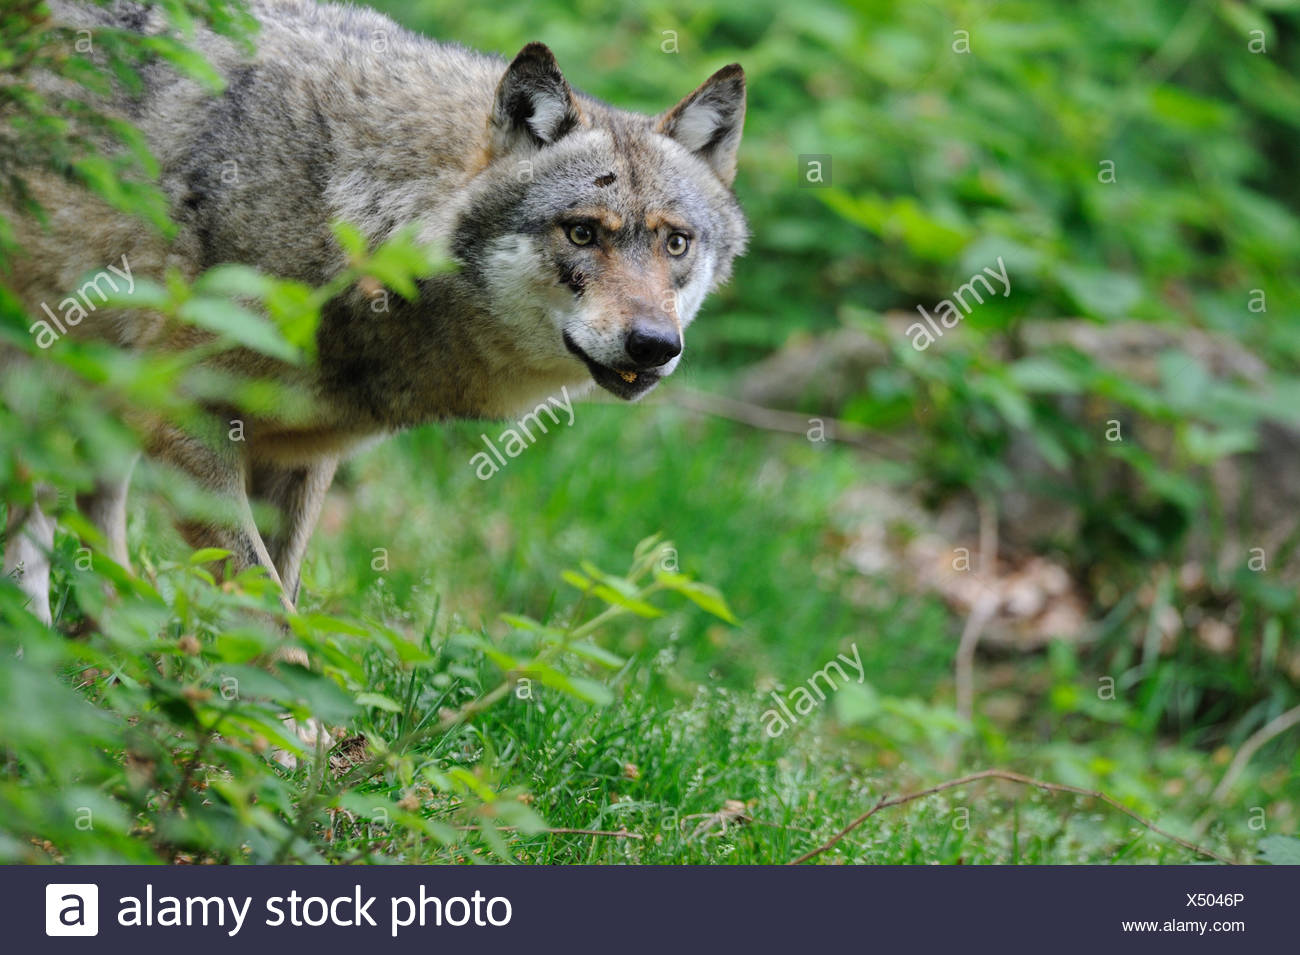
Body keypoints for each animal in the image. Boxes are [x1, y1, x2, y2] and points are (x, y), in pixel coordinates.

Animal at [2, 0, 746, 664]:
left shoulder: (299, 457)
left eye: (676, 243)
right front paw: (294, 730)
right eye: (583, 232)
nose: (654, 344)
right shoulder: (184, 426)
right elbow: (266, 605)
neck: (351, 210)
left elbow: (280, 593)